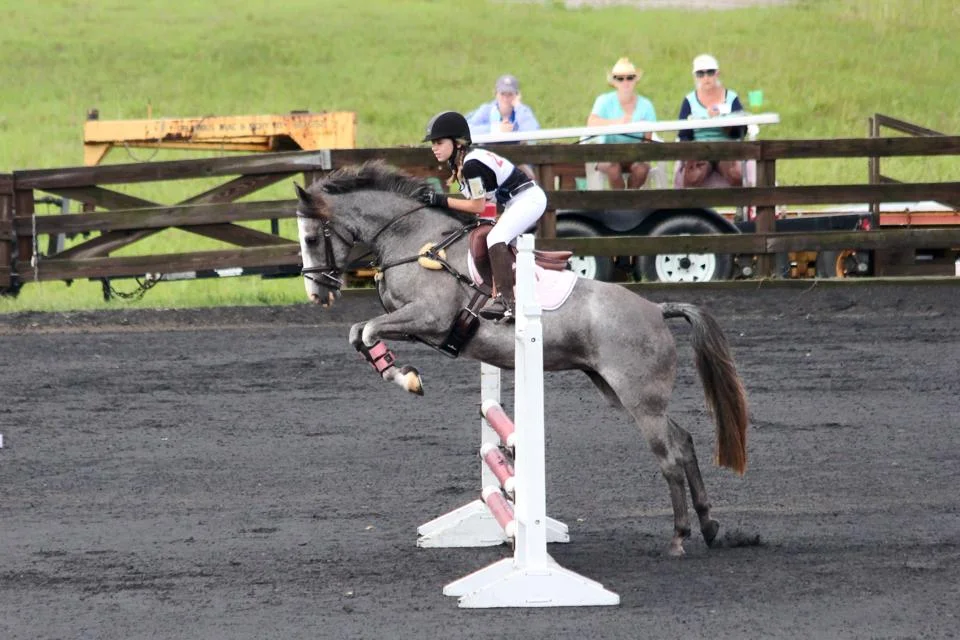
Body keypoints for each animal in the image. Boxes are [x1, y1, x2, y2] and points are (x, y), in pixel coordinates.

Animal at [294, 160, 749, 557]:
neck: (413, 241)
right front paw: (403, 372)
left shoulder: (431, 317)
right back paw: (709, 527)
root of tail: (657, 309)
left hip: (639, 399)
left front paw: (408, 378)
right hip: (619, 392)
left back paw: (679, 538)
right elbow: (360, 333)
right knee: (684, 442)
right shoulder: (414, 325)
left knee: (669, 455)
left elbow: (368, 330)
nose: (317, 294)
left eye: (312, 239)